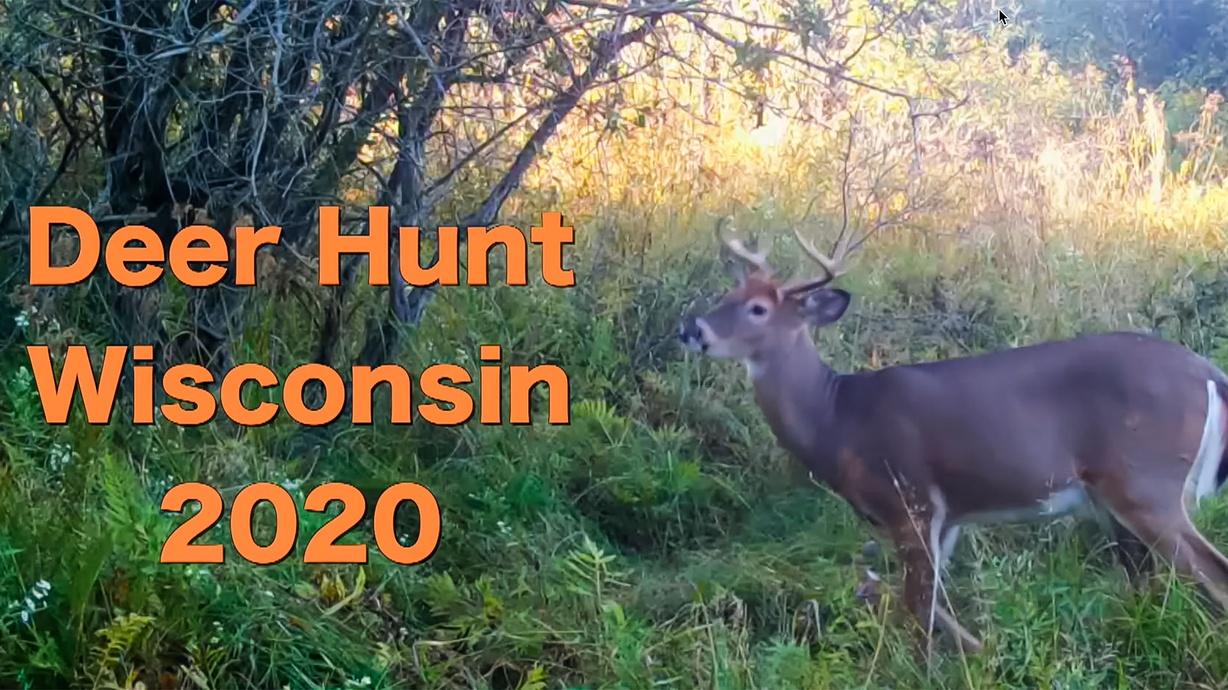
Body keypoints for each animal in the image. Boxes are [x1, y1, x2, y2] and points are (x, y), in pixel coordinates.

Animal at [678, 221, 1228, 653]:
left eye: (757, 309)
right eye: (726, 296)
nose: (691, 328)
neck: (837, 418)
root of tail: (1208, 371)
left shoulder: (912, 501)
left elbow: (916, 606)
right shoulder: (947, 518)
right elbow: (927, 602)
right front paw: (981, 651)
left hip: (1145, 483)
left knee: (1209, 570)